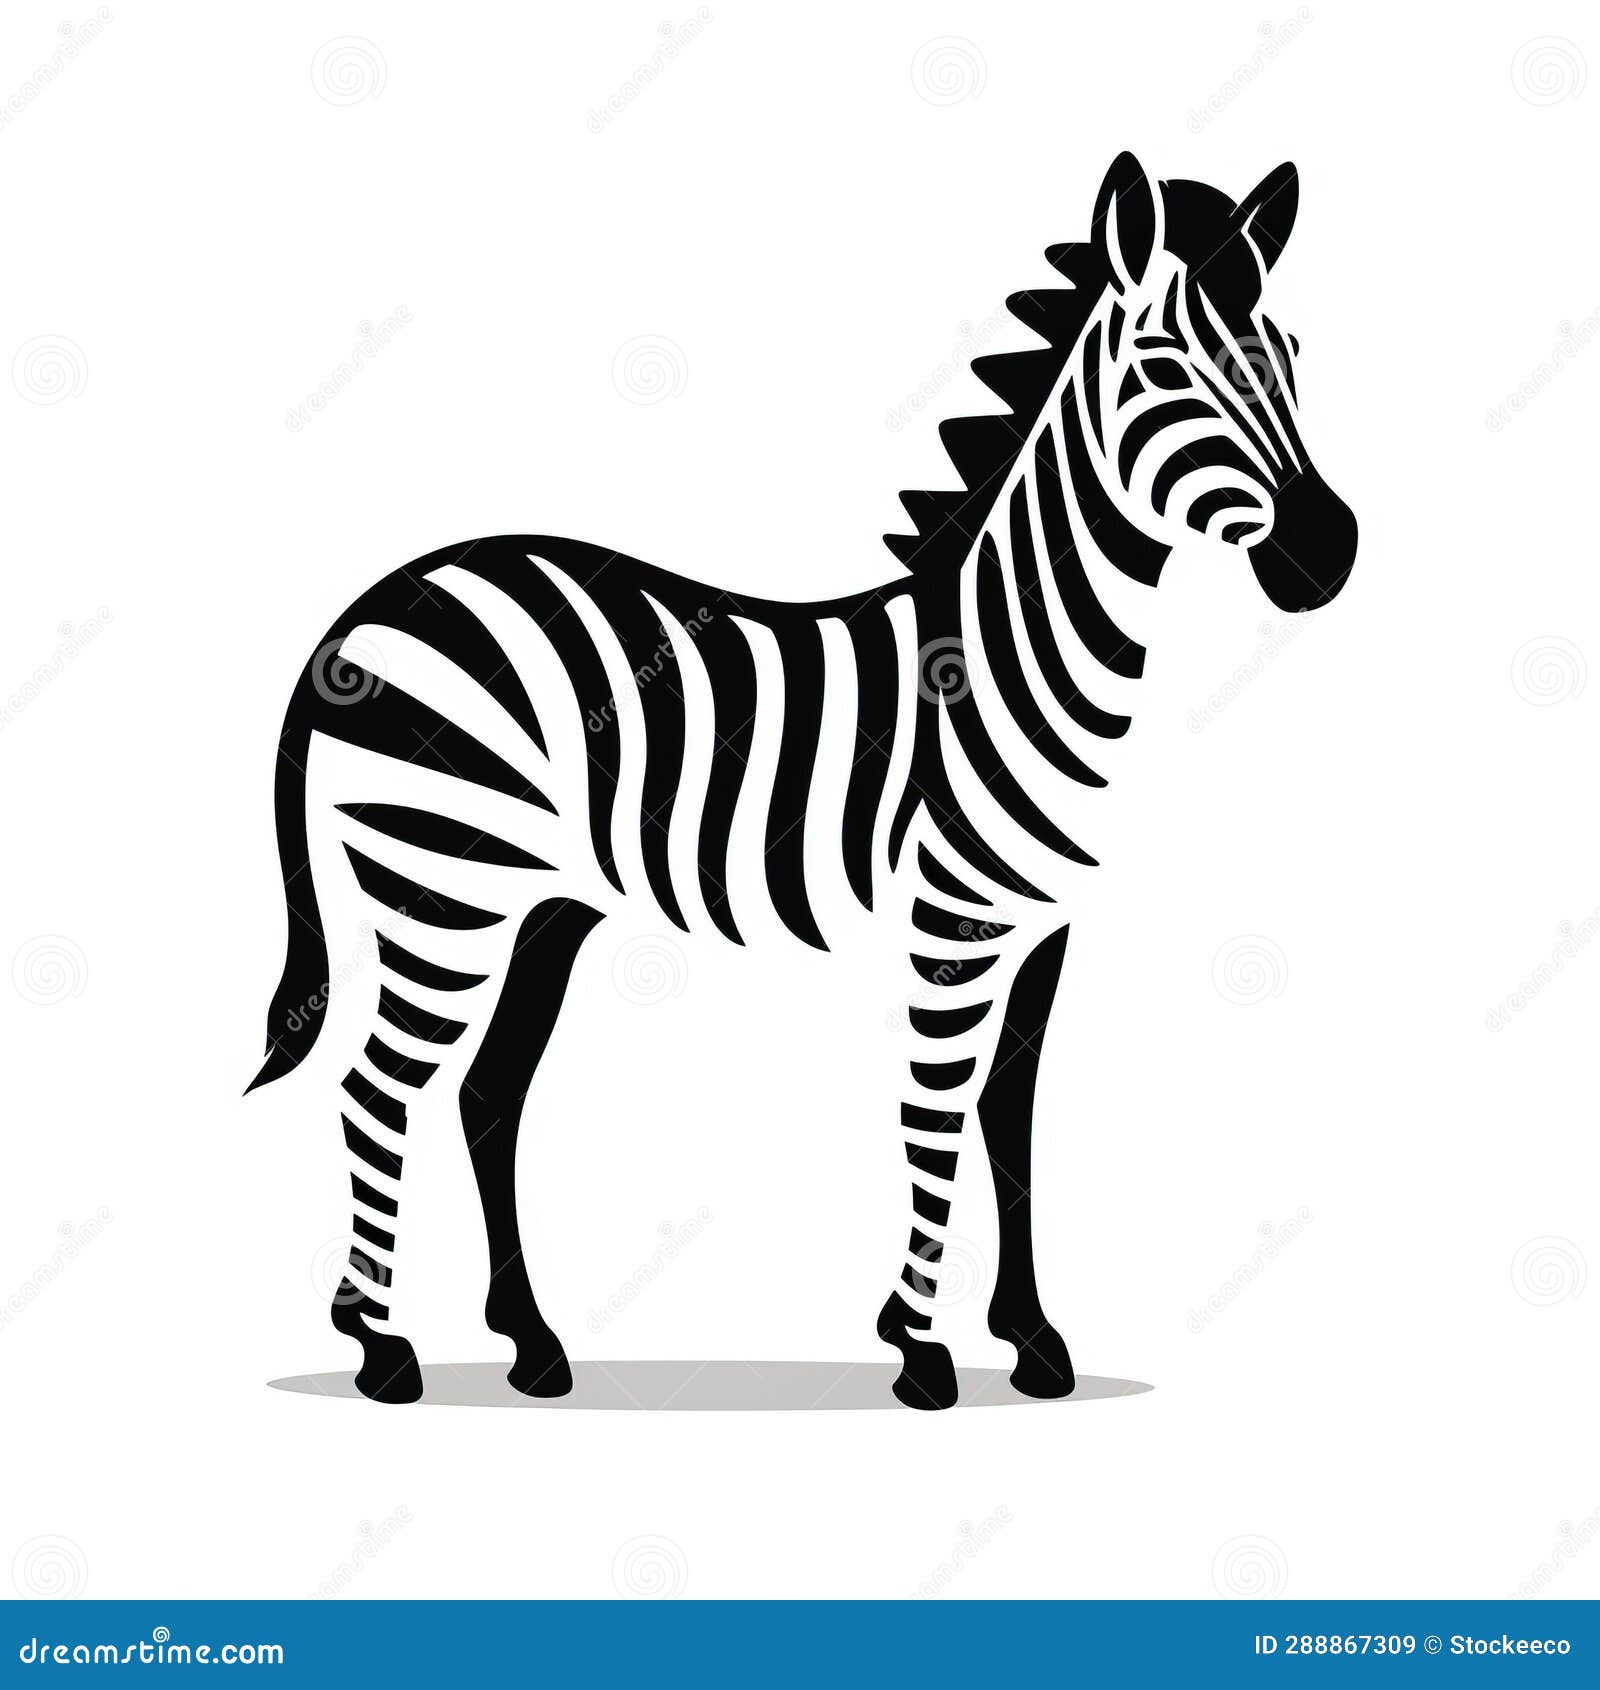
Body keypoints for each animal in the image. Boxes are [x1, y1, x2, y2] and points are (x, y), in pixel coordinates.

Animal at [249, 153, 1357, 1409]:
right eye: (1164, 367)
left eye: (1292, 352)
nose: (1328, 551)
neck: (1014, 650)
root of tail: (370, 605)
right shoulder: (955, 922)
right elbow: (934, 1112)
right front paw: (918, 1346)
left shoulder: (1042, 930)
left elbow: (1009, 1122)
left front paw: (1030, 1339)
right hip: (442, 884)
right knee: (378, 1089)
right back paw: (381, 1345)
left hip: (538, 907)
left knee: (487, 1091)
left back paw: (530, 1342)